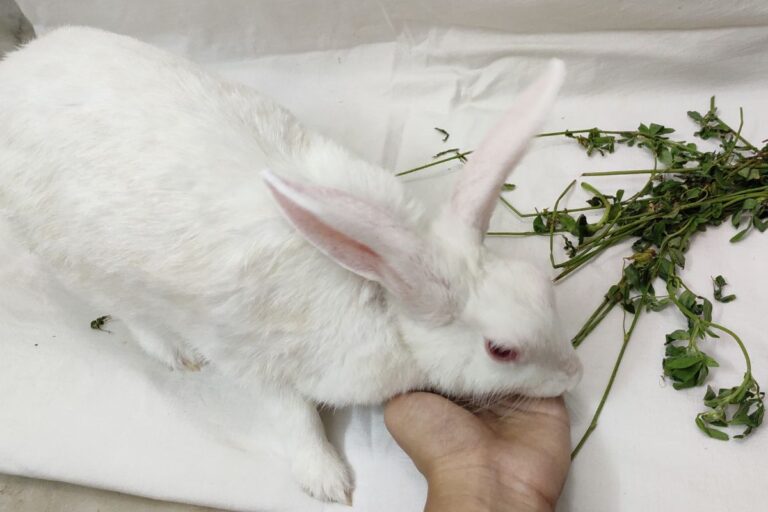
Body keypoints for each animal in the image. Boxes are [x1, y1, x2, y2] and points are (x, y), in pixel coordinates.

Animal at [0, 26, 581, 503]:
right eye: (501, 350)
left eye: (542, 287)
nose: (574, 376)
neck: (380, 293)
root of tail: (18, 69)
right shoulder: (258, 361)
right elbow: (295, 418)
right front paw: (328, 482)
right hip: (83, 265)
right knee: (129, 311)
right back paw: (175, 353)